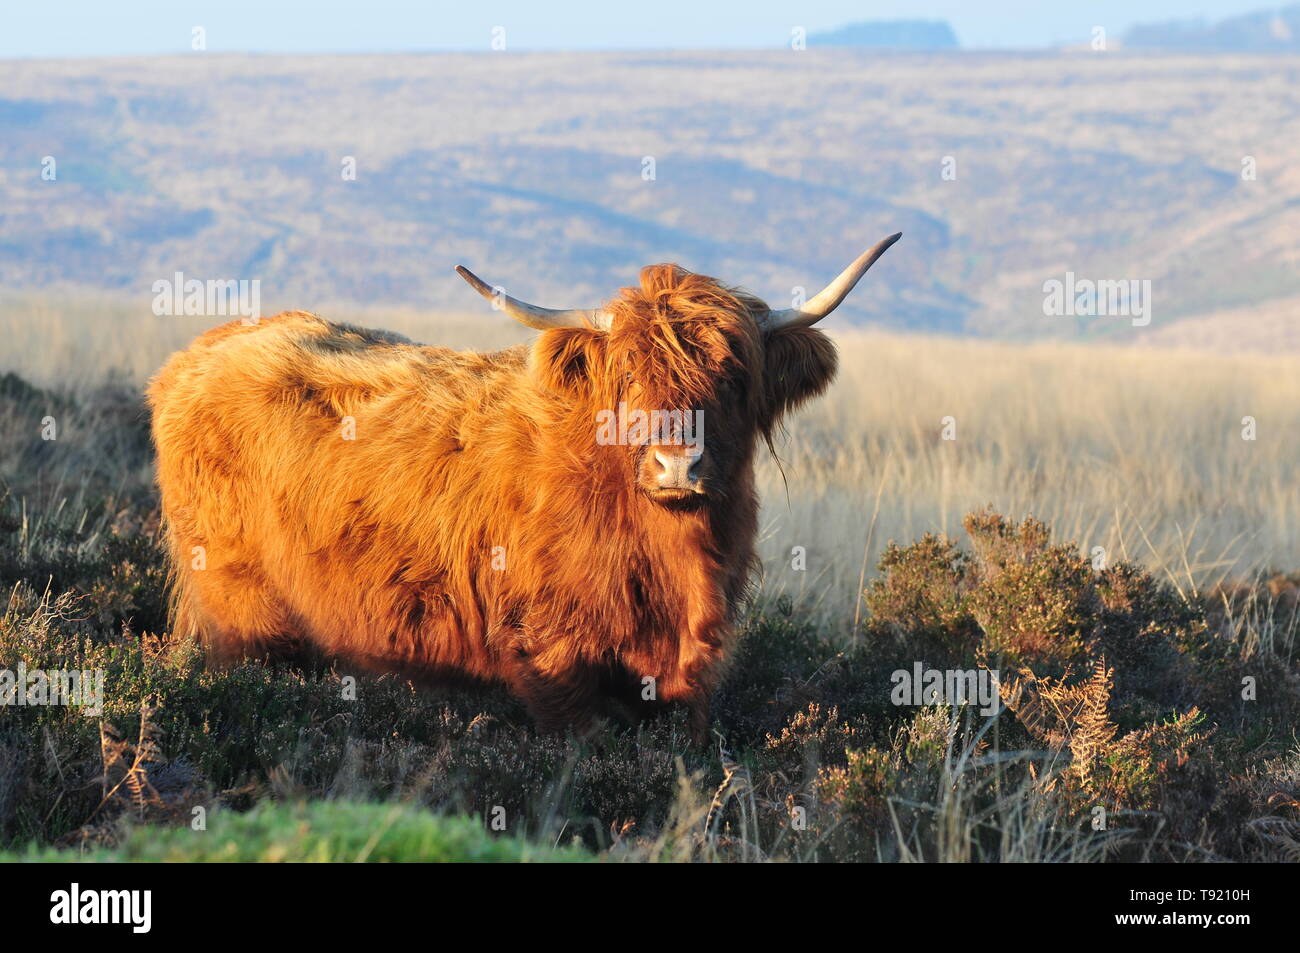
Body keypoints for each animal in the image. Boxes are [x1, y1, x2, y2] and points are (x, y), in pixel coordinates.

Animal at [147, 233, 901, 739]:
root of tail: (198, 354)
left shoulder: (690, 667)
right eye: (628, 376)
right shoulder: (553, 655)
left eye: (733, 376)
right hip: (240, 614)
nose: (676, 466)